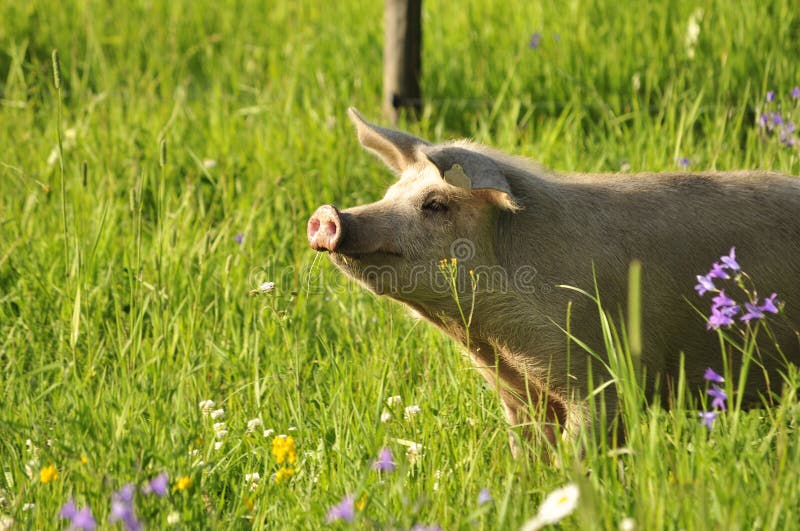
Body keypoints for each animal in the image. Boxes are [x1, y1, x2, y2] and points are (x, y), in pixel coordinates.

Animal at [308, 107, 800, 454]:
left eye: (434, 204)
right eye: (390, 194)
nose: (330, 214)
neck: (492, 337)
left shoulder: (604, 375)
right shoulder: (519, 394)